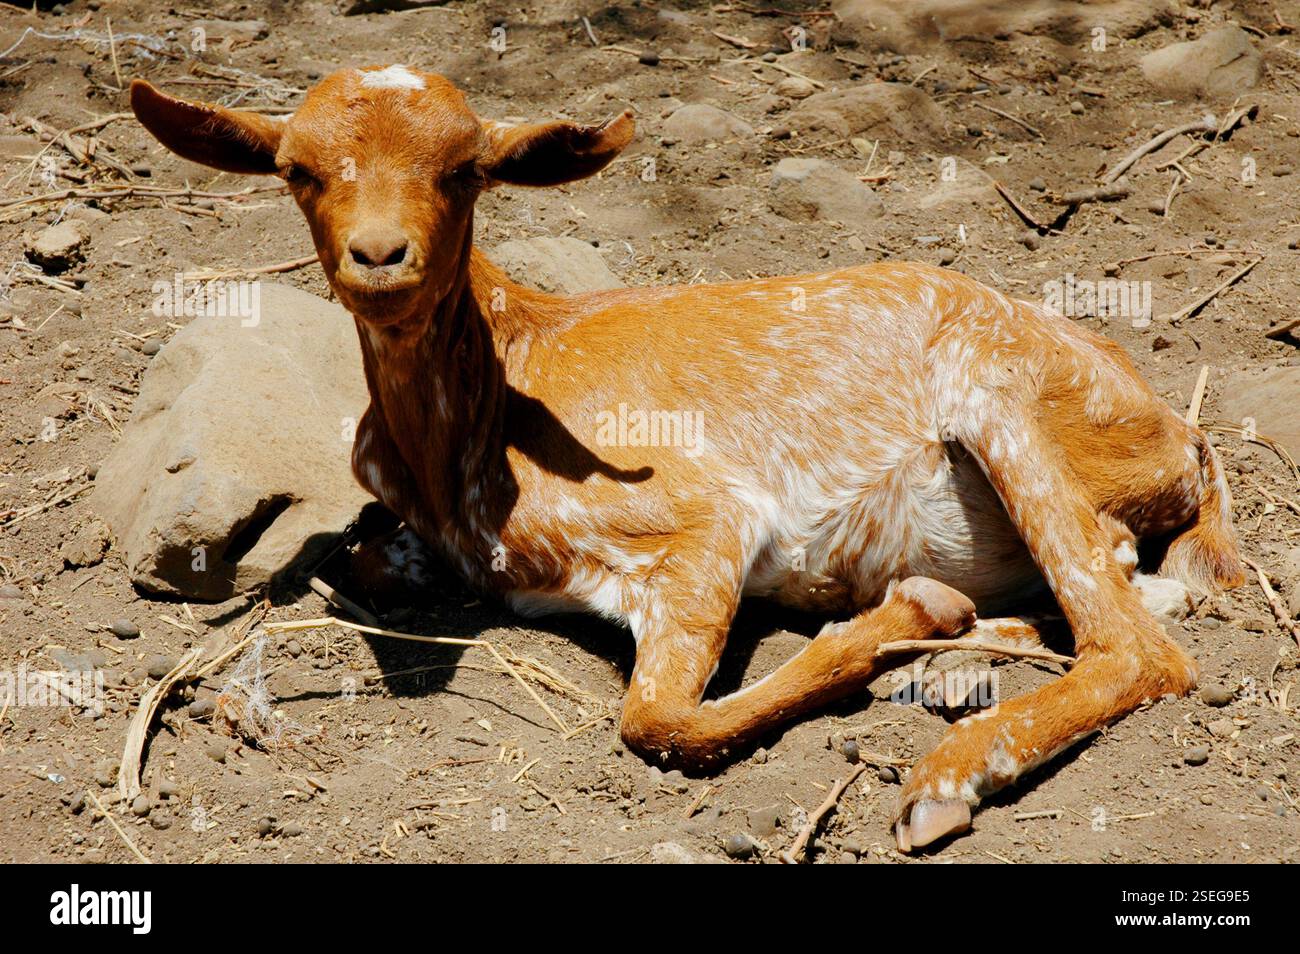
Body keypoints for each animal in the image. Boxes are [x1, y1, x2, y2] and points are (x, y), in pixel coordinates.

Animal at [131, 66, 1244, 852]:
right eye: (299, 170)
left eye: (463, 171)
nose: (378, 257)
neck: (497, 393)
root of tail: (1177, 433)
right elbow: (358, 558)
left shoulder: (709, 519)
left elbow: (657, 721)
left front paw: (905, 618)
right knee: (1117, 590)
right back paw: (972, 653)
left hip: (998, 388)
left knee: (1138, 647)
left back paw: (944, 772)